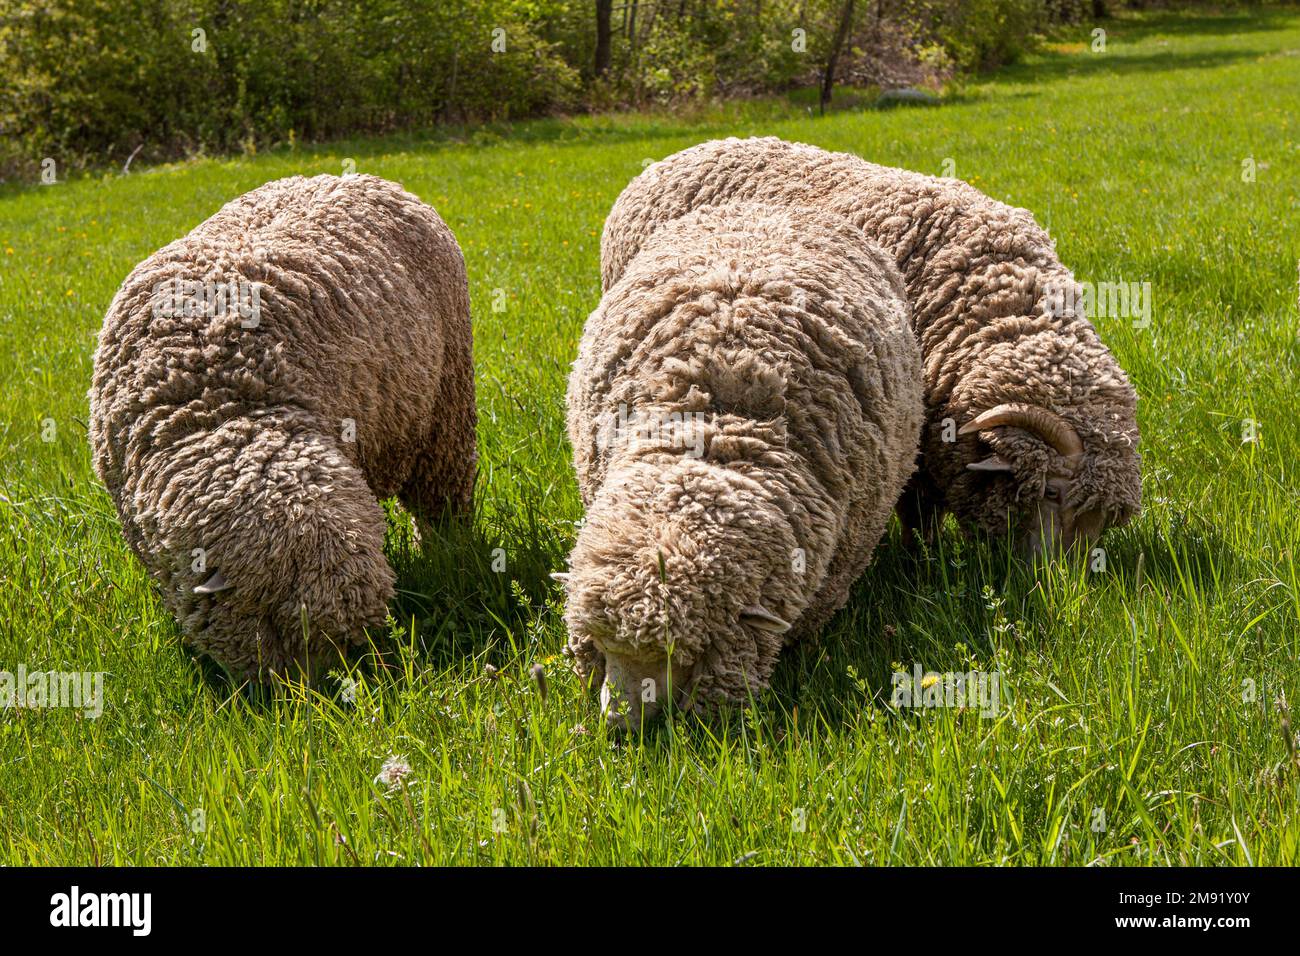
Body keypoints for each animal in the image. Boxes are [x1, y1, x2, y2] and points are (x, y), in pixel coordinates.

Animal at [89, 173, 476, 681]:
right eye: (278, 626)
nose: (326, 692)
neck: (220, 409)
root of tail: (352, 176)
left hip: (447, 407)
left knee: (441, 502)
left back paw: (448, 551)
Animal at [601, 137, 1141, 559]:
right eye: (1050, 491)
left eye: (1105, 520)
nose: (1066, 589)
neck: (998, 302)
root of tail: (677, 154)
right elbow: (919, 514)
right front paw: (922, 560)